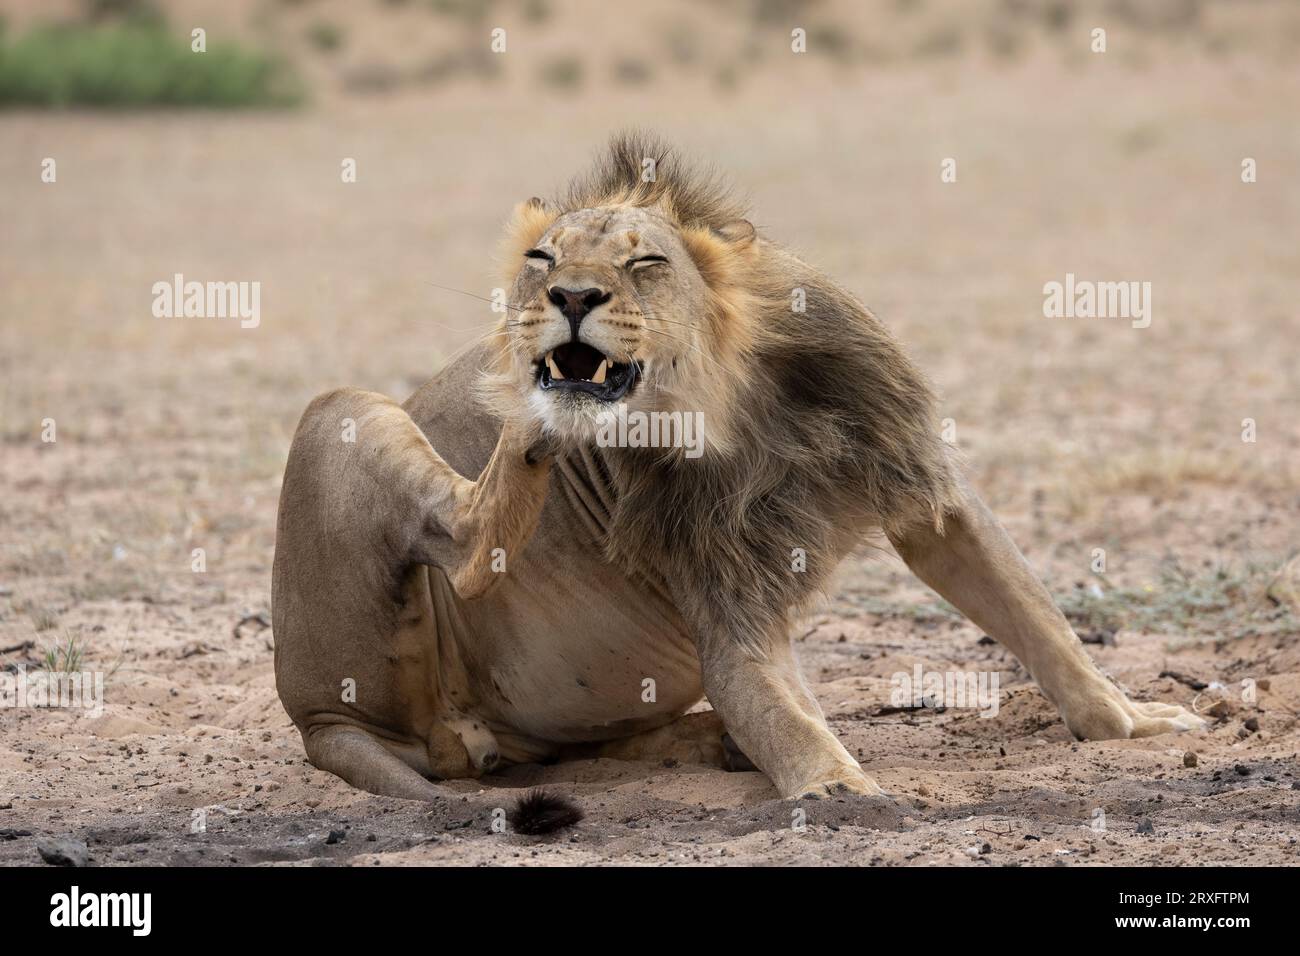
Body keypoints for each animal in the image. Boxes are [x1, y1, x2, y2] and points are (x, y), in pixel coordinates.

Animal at [271, 132, 1202, 802]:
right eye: (542, 261)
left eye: (645, 262)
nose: (569, 297)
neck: (730, 407)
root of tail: (312, 717)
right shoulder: (720, 577)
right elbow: (777, 707)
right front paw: (841, 790)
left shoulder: (918, 478)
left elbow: (1037, 617)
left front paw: (1128, 722)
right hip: (338, 417)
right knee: (463, 551)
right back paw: (530, 417)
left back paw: (703, 742)